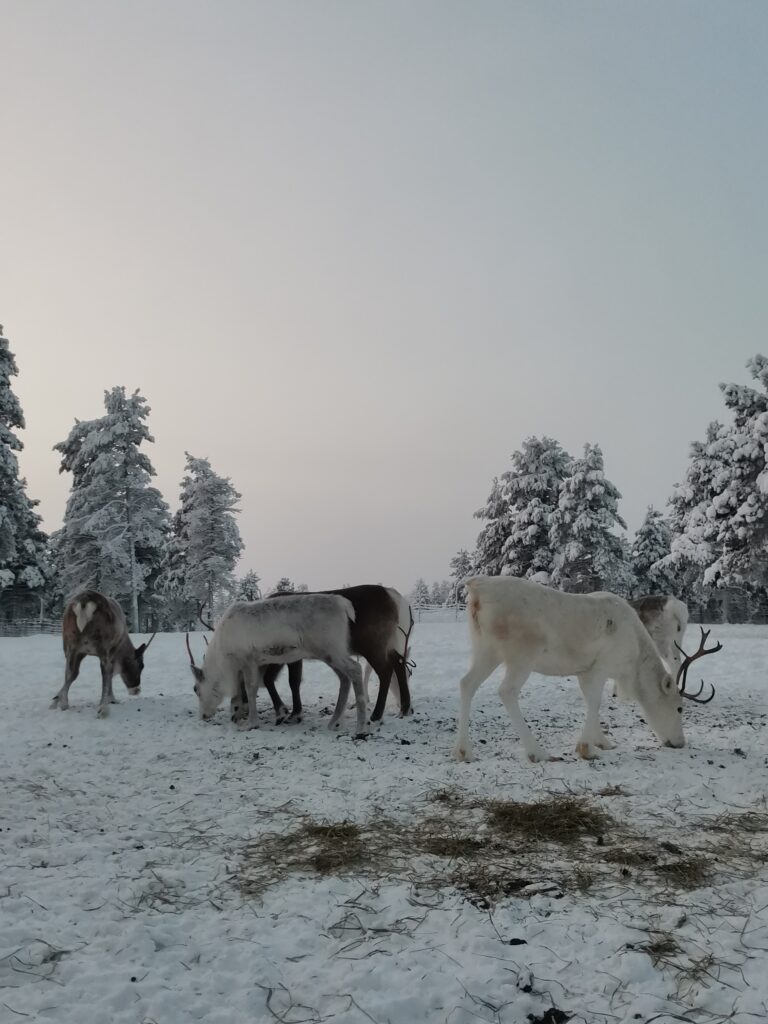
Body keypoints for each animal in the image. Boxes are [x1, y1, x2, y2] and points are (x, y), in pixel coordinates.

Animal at [50, 590, 156, 718]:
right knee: (104, 671)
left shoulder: (81, 652)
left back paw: (62, 703)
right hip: (103, 647)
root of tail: (85, 600)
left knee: (71, 673)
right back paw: (103, 709)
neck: (123, 643)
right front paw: (112, 699)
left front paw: (55, 701)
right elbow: (110, 674)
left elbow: (72, 675)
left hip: (70, 646)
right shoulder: (111, 652)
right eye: (141, 666)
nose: (136, 690)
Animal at [454, 576, 720, 764]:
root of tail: (476, 589)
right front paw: (586, 749)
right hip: (522, 653)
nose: (680, 742)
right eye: (679, 708)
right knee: (506, 691)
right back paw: (537, 752)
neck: (632, 666)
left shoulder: (583, 671)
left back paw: (464, 751)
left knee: (467, 683)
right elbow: (595, 701)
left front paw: (602, 741)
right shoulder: (600, 666)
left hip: (486, 649)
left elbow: (590, 701)